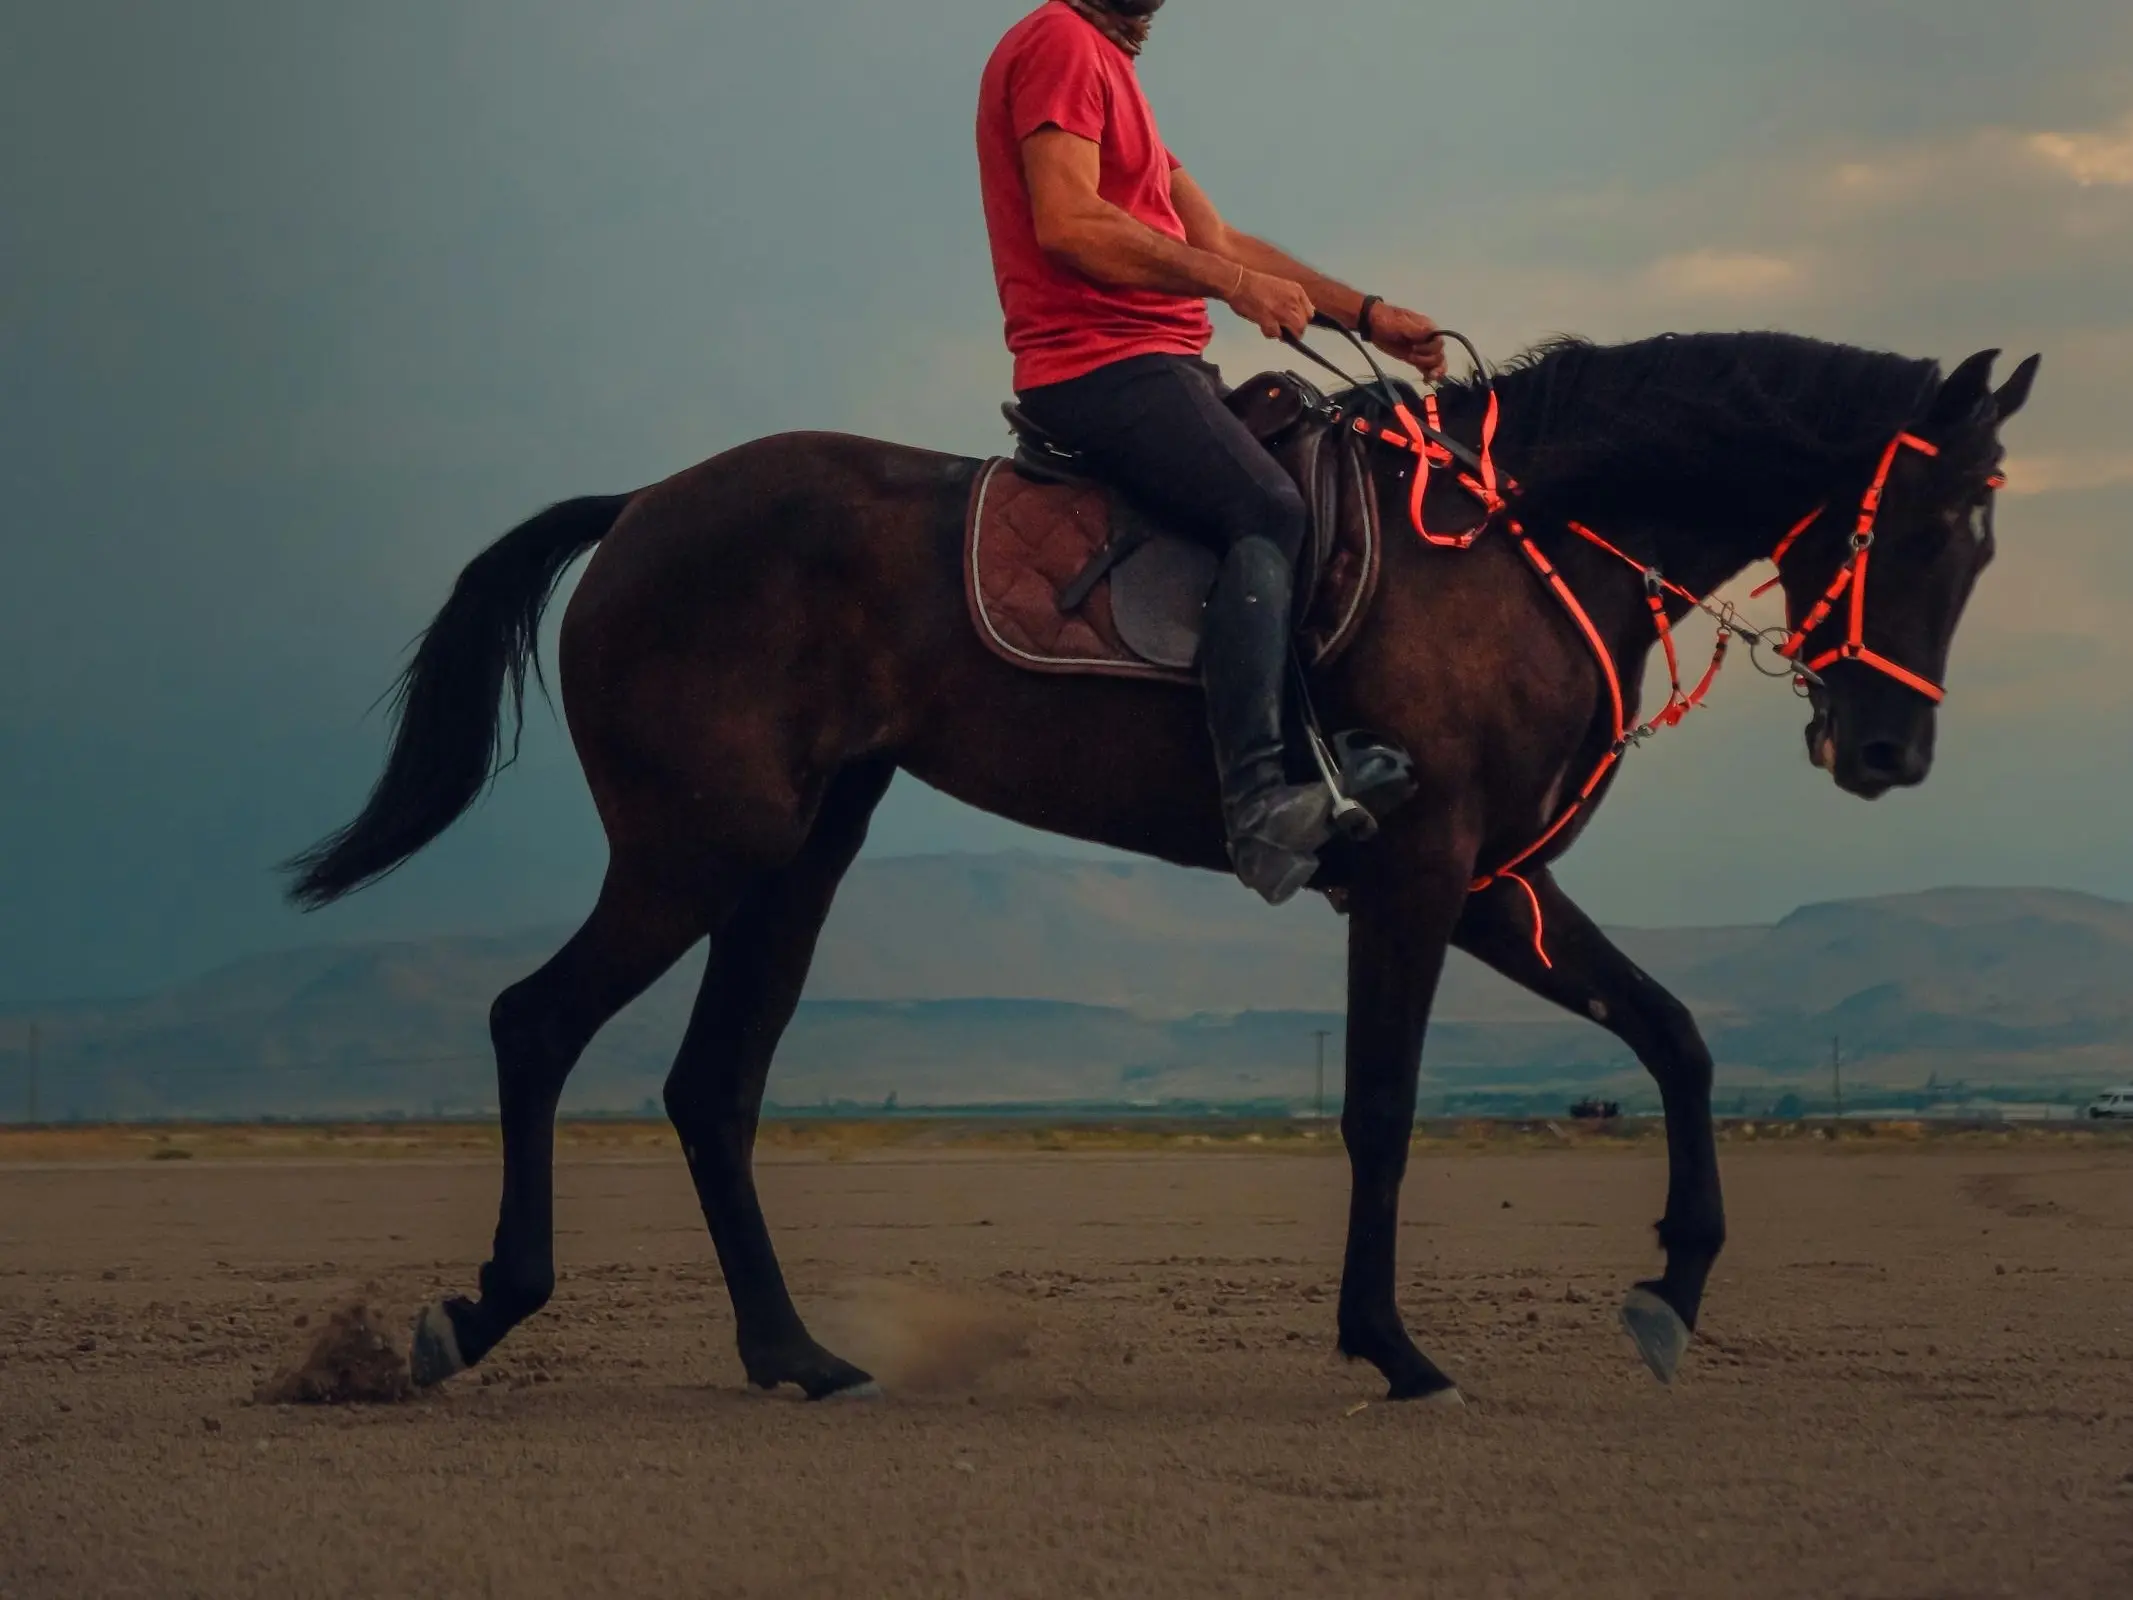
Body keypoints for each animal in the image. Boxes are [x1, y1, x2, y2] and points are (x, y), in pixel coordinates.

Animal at [285, 330, 2038, 1403]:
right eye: (1925, 528)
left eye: (1981, 542)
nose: (1889, 753)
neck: (1511, 547)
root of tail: (645, 505)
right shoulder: (1420, 873)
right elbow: (1382, 1107)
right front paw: (1393, 1348)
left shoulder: (1497, 885)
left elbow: (1676, 1037)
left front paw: (1671, 1290)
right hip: (697, 846)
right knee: (536, 1023)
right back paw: (480, 1310)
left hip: (795, 855)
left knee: (711, 1087)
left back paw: (794, 1354)